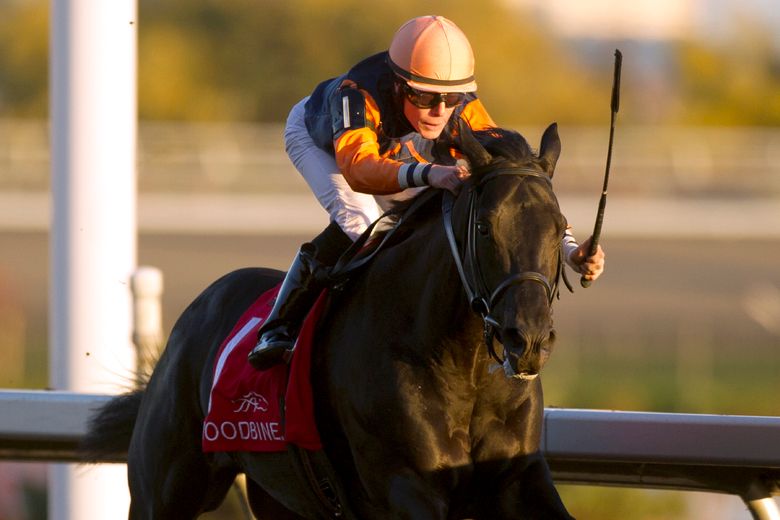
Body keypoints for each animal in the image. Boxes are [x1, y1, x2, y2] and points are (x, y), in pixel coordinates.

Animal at [81, 122, 574, 519]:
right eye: (485, 227)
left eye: (559, 227)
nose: (528, 339)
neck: (462, 368)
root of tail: (195, 311)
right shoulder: (405, 484)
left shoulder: (520, 478)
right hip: (165, 489)